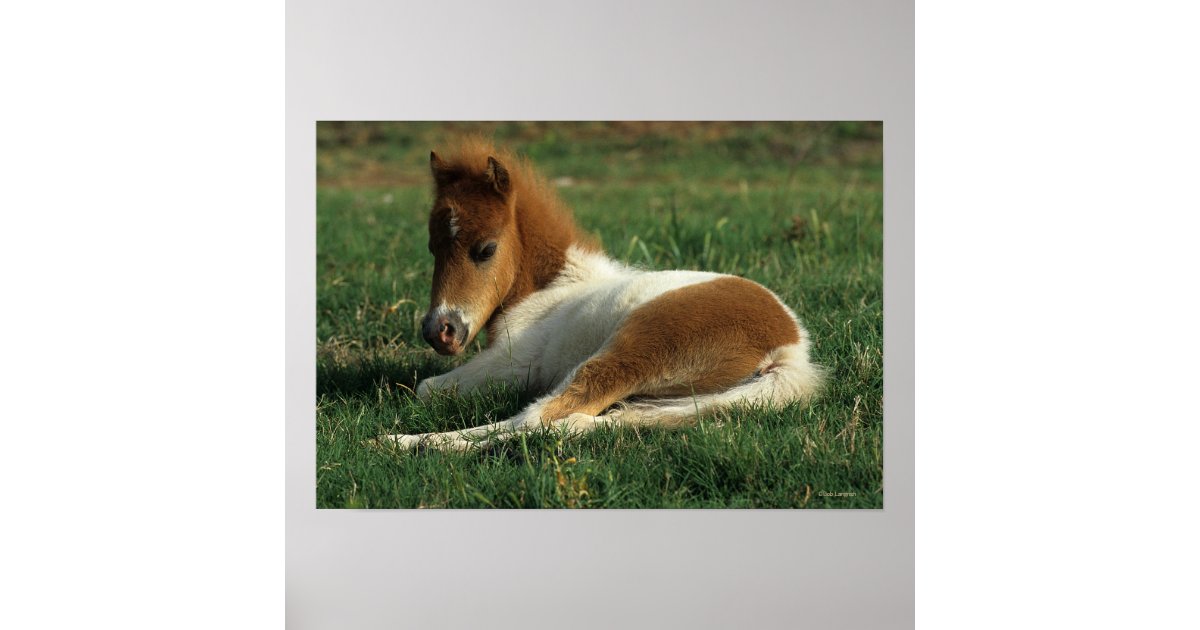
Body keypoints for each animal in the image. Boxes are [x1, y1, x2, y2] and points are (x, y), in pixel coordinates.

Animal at [379, 138, 823, 451]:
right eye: (432, 247)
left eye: (485, 249)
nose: (440, 331)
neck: (554, 287)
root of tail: (788, 348)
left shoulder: (512, 364)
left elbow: (426, 389)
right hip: (691, 400)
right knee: (581, 423)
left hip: (633, 352)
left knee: (539, 418)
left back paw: (405, 443)